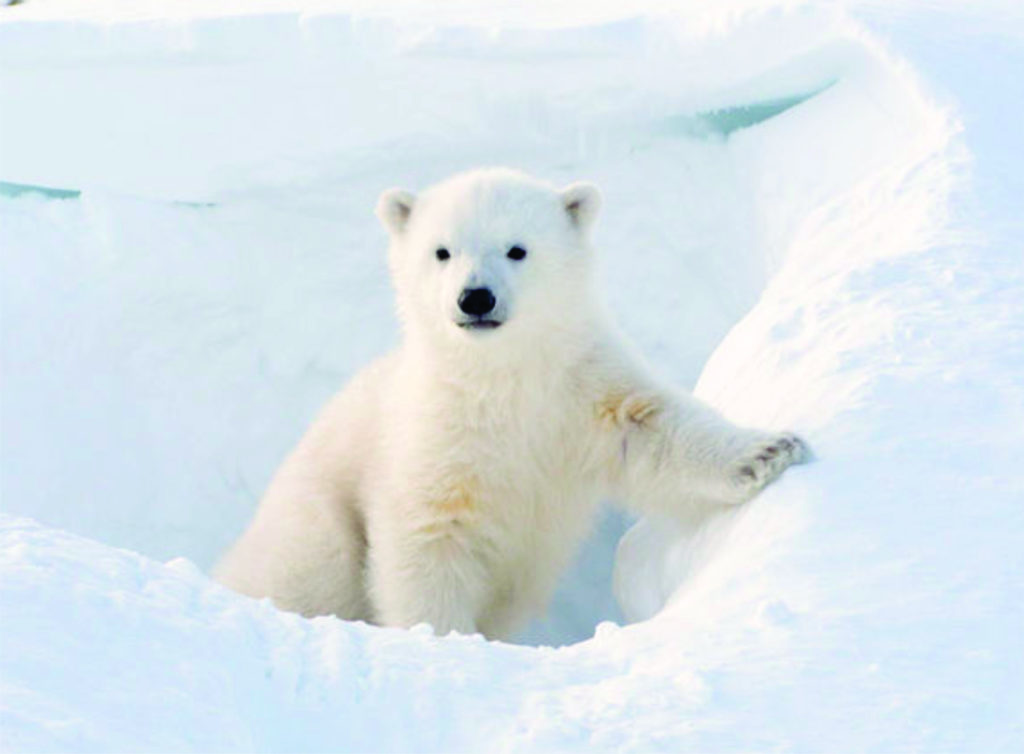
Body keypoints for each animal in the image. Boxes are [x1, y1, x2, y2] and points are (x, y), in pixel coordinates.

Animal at [213, 167, 809, 640]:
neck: (502, 378)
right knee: (312, 570)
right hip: (313, 520)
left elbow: (648, 426)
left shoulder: (581, 387)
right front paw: (443, 641)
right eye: (441, 251)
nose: (475, 297)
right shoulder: (436, 438)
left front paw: (770, 451)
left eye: (517, 249)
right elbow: (426, 542)